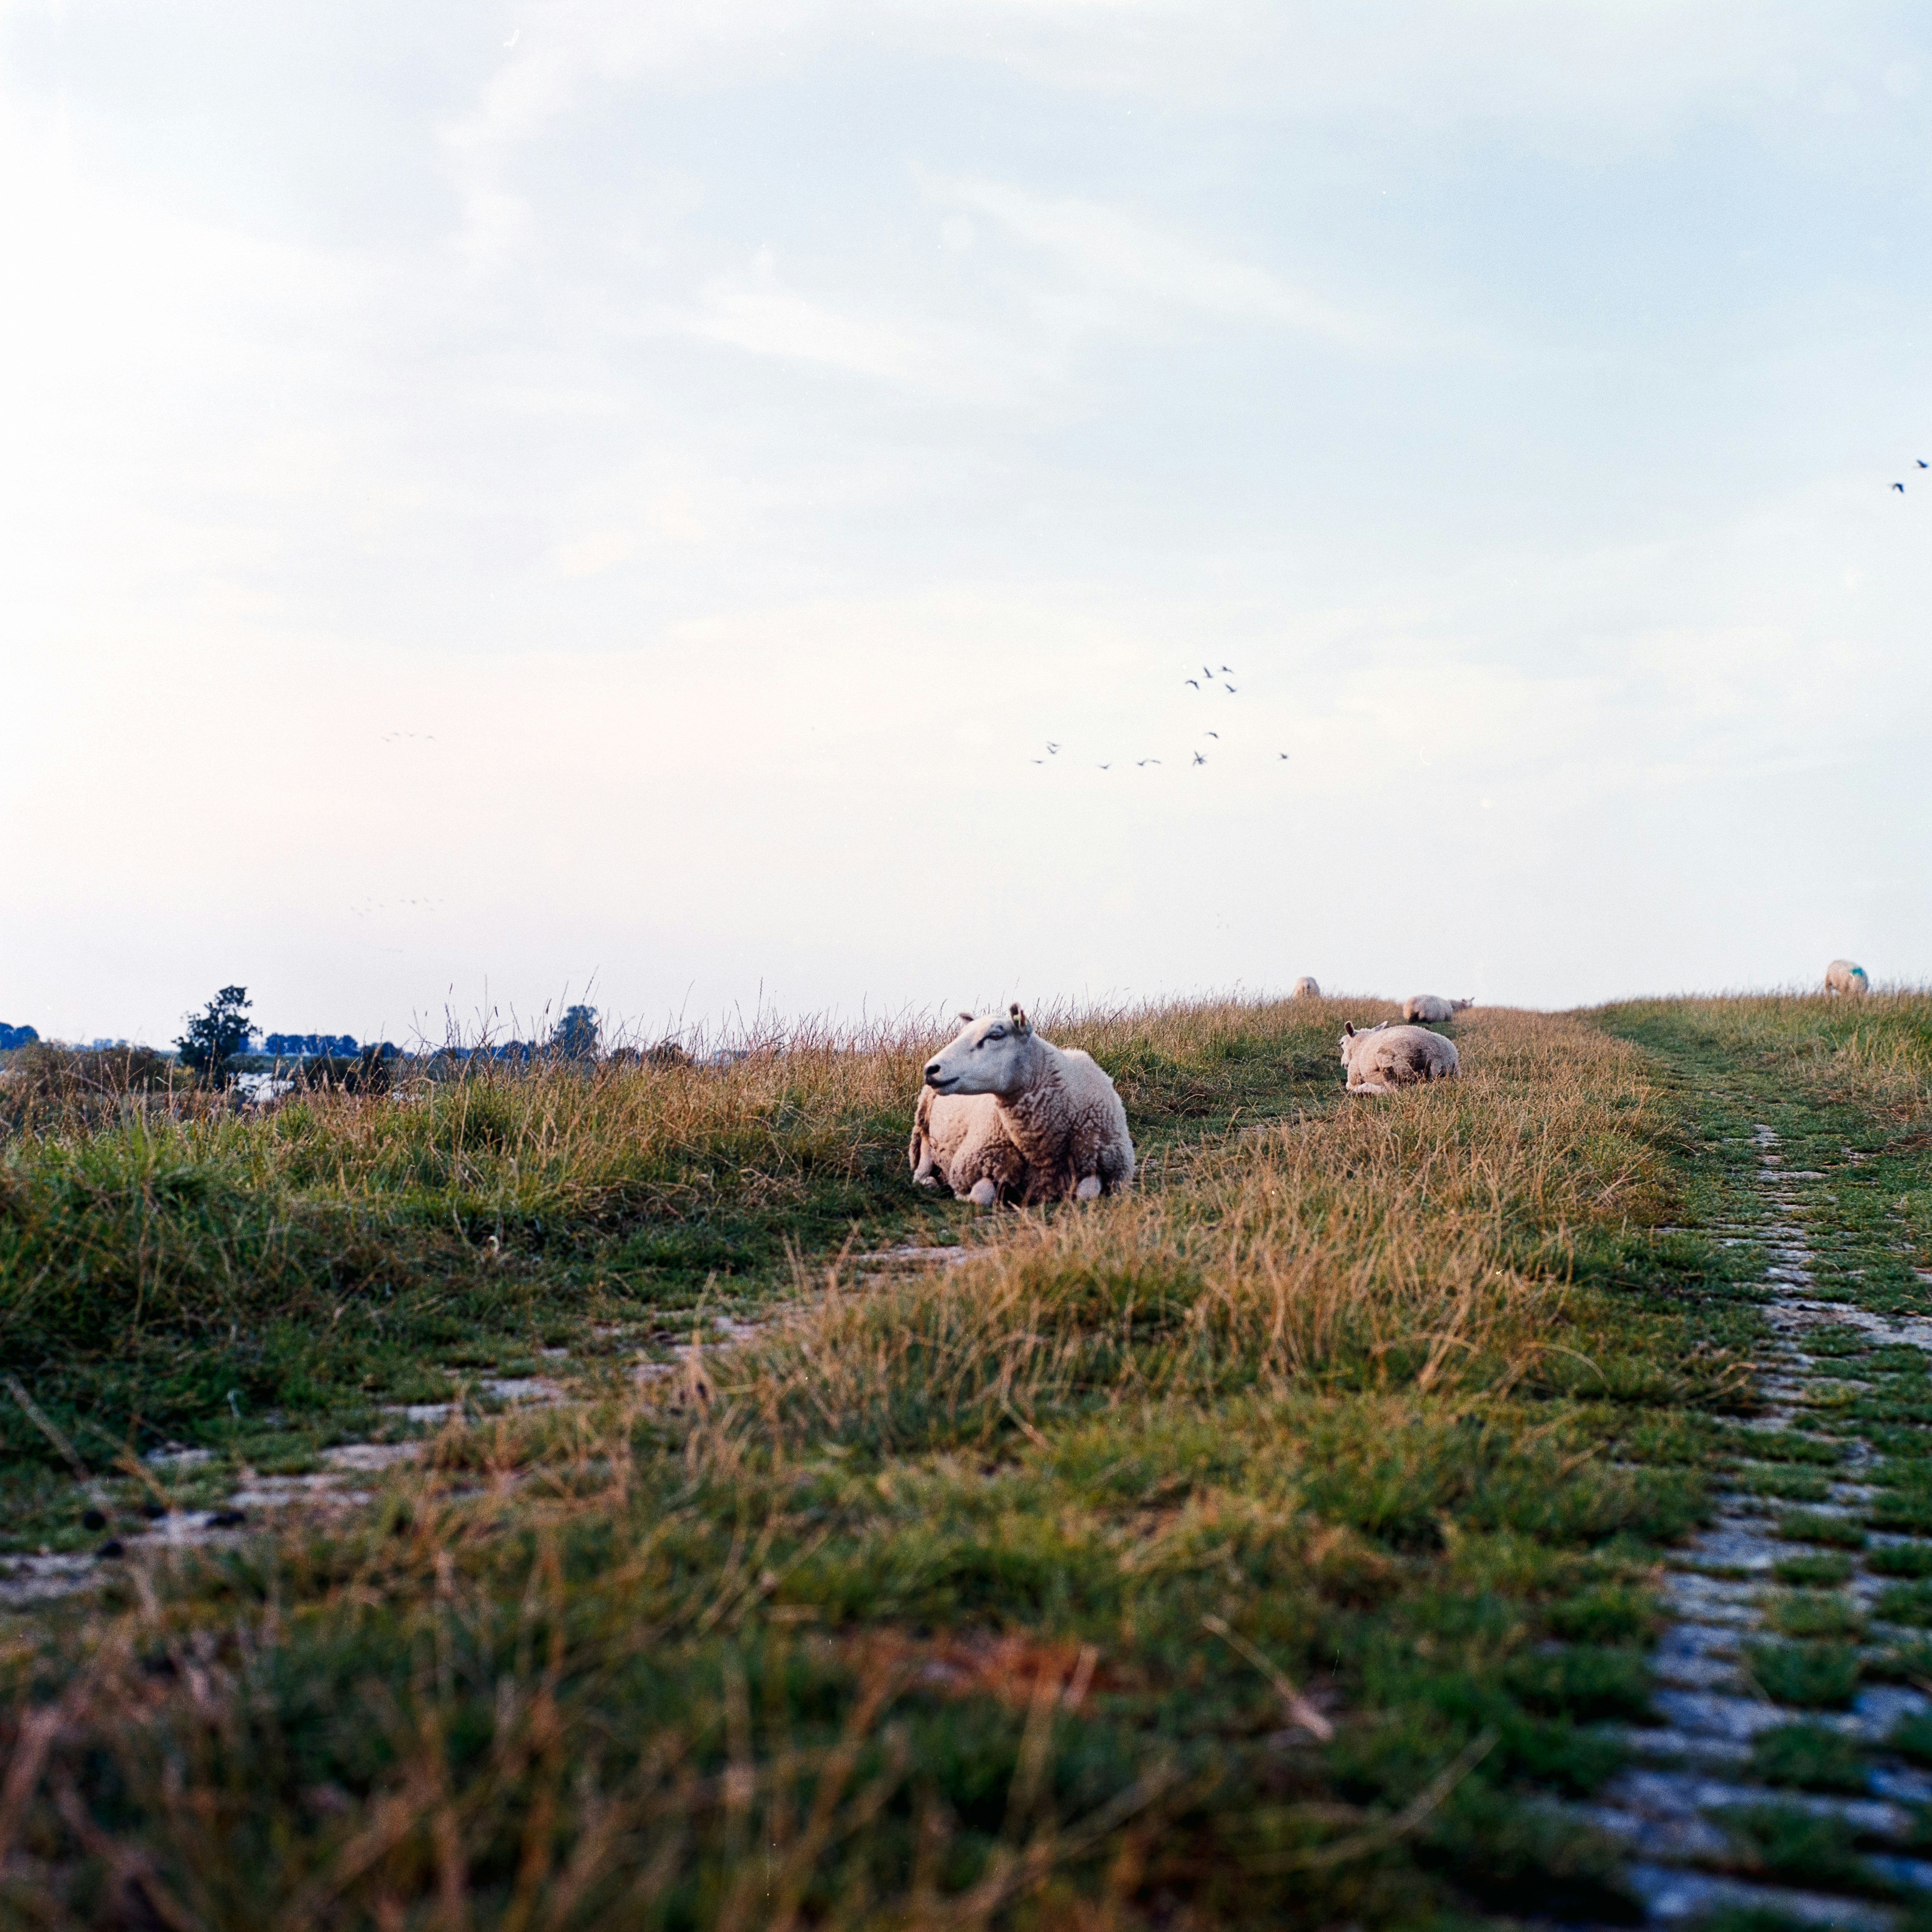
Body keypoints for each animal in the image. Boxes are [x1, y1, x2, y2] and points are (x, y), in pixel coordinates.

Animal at [919, 1005, 1134, 1203]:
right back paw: (929, 1182)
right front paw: (961, 1194)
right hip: (924, 1128)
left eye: (995, 1036)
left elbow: (1087, 1195)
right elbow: (980, 1197)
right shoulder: (977, 1161)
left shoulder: (1104, 1164)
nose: (930, 1069)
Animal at [1339, 1020, 1459, 1094]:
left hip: (1389, 1060)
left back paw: (1363, 1090)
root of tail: (1439, 1058)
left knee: (1392, 1091)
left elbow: (1349, 1085)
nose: (1343, 1064)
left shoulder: (1354, 1074)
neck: (1361, 1044)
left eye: (1342, 1043)